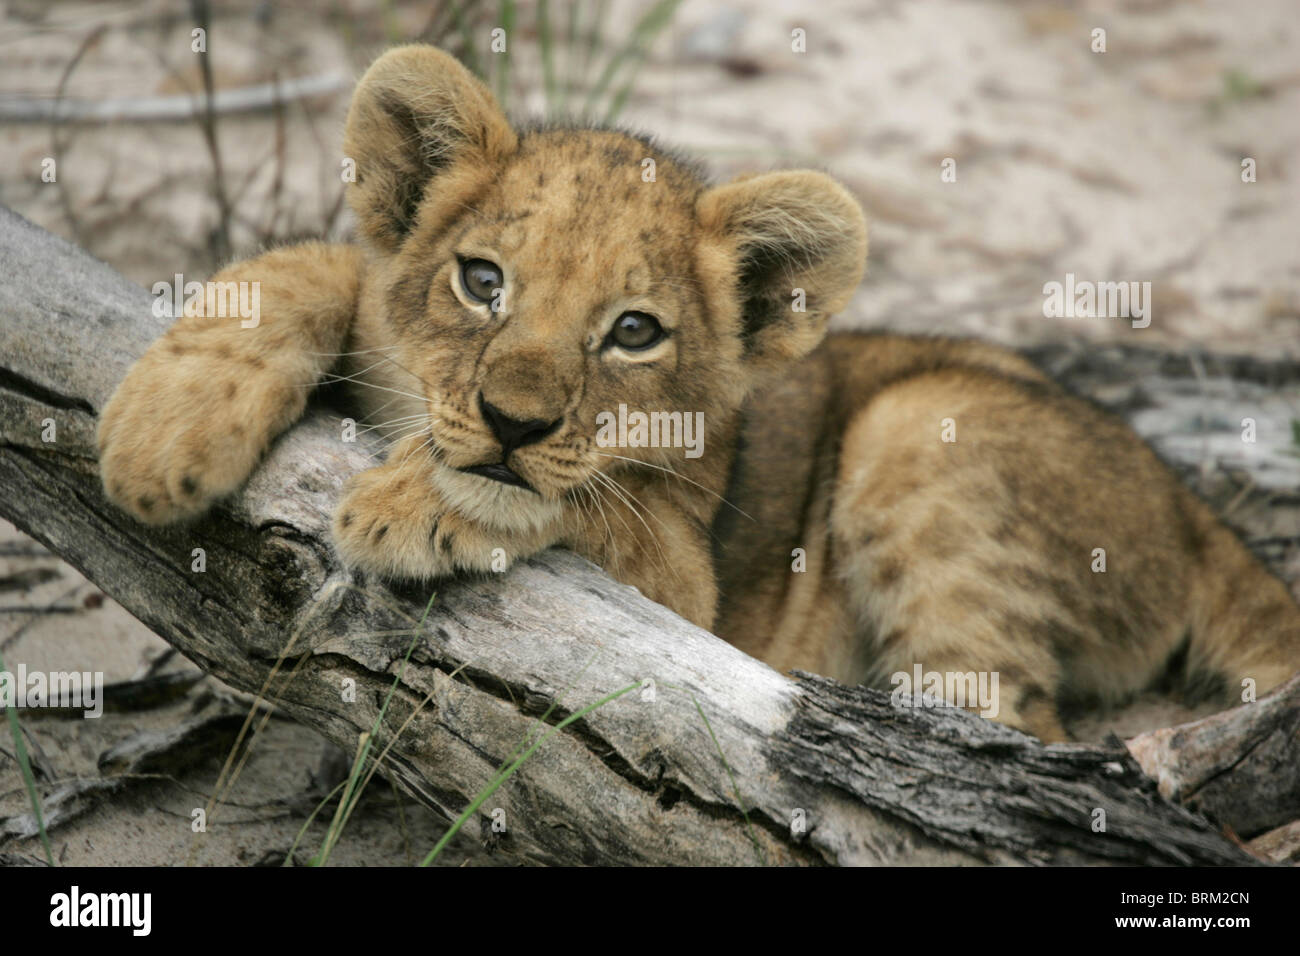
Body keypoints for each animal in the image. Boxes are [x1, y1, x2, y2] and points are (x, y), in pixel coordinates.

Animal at [97, 45, 1300, 742]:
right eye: (482, 282)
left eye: (633, 332)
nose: (511, 422)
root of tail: (1195, 511)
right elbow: (318, 266)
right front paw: (161, 431)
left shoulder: (687, 592)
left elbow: (590, 497)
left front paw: (422, 498)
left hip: (918, 426)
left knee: (1022, 728)